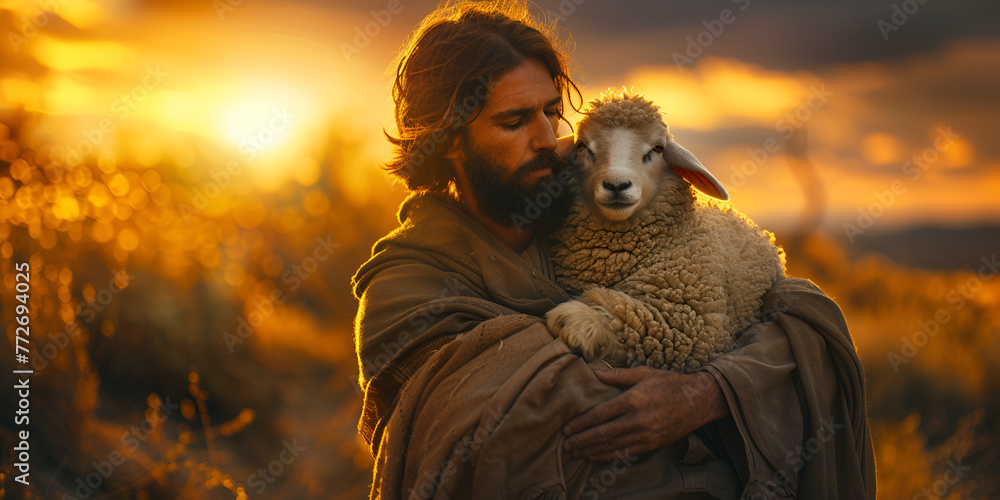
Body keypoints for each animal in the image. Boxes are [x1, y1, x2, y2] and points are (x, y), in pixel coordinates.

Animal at [544, 89, 786, 373]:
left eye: (658, 148)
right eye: (582, 146)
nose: (617, 185)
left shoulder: (693, 326)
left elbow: (638, 322)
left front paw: (576, 320)